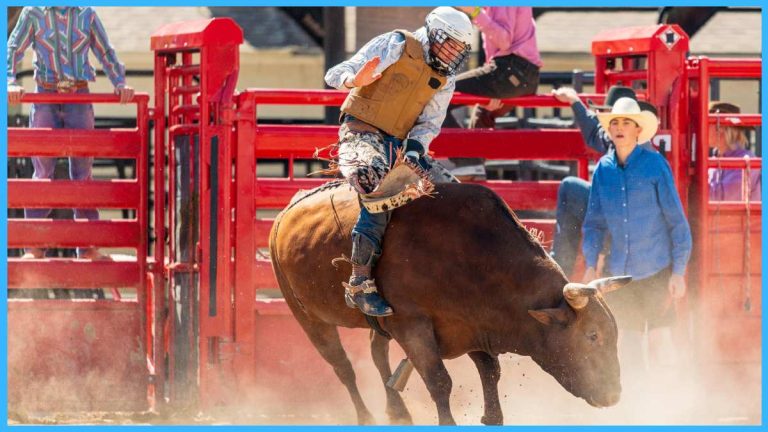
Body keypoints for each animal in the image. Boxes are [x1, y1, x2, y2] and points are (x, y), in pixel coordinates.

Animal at [269, 181, 630, 425]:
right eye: (592, 336)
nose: (614, 394)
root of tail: (287, 211)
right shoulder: (412, 326)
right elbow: (440, 382)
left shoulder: (475, 326)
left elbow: (491, 374)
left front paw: (491, 418)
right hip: (306, 315)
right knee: (342, 367)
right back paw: (367, 417)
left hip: (377, 321)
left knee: (376, 353)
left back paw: (398, 412)